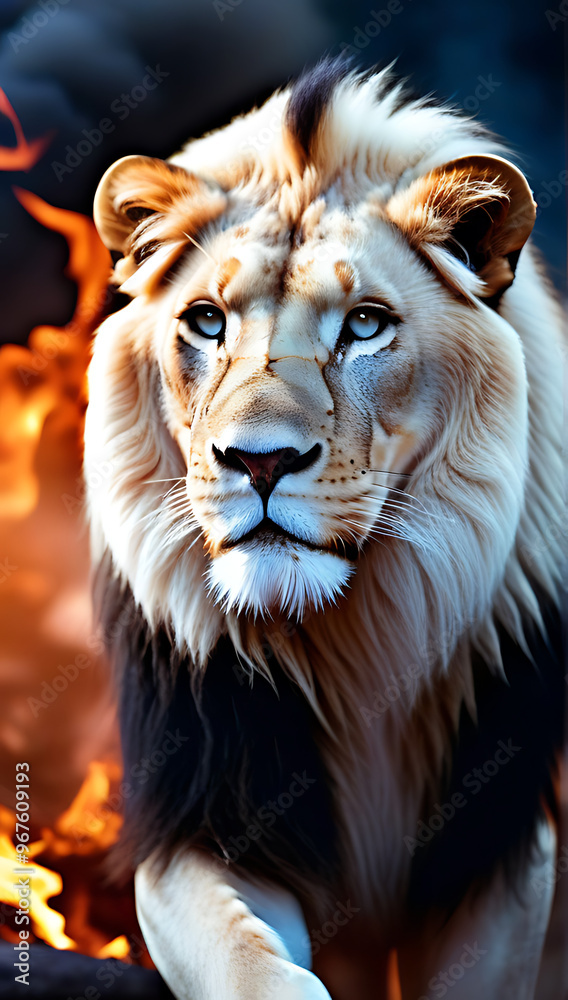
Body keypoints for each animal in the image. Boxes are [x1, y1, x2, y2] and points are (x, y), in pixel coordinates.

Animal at [85, 60, 565, 999]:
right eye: (207, 320)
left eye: (366, 324)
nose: (259, 460)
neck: (355, 645)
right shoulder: (200, 819)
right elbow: (252, 968)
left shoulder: (499, 853)